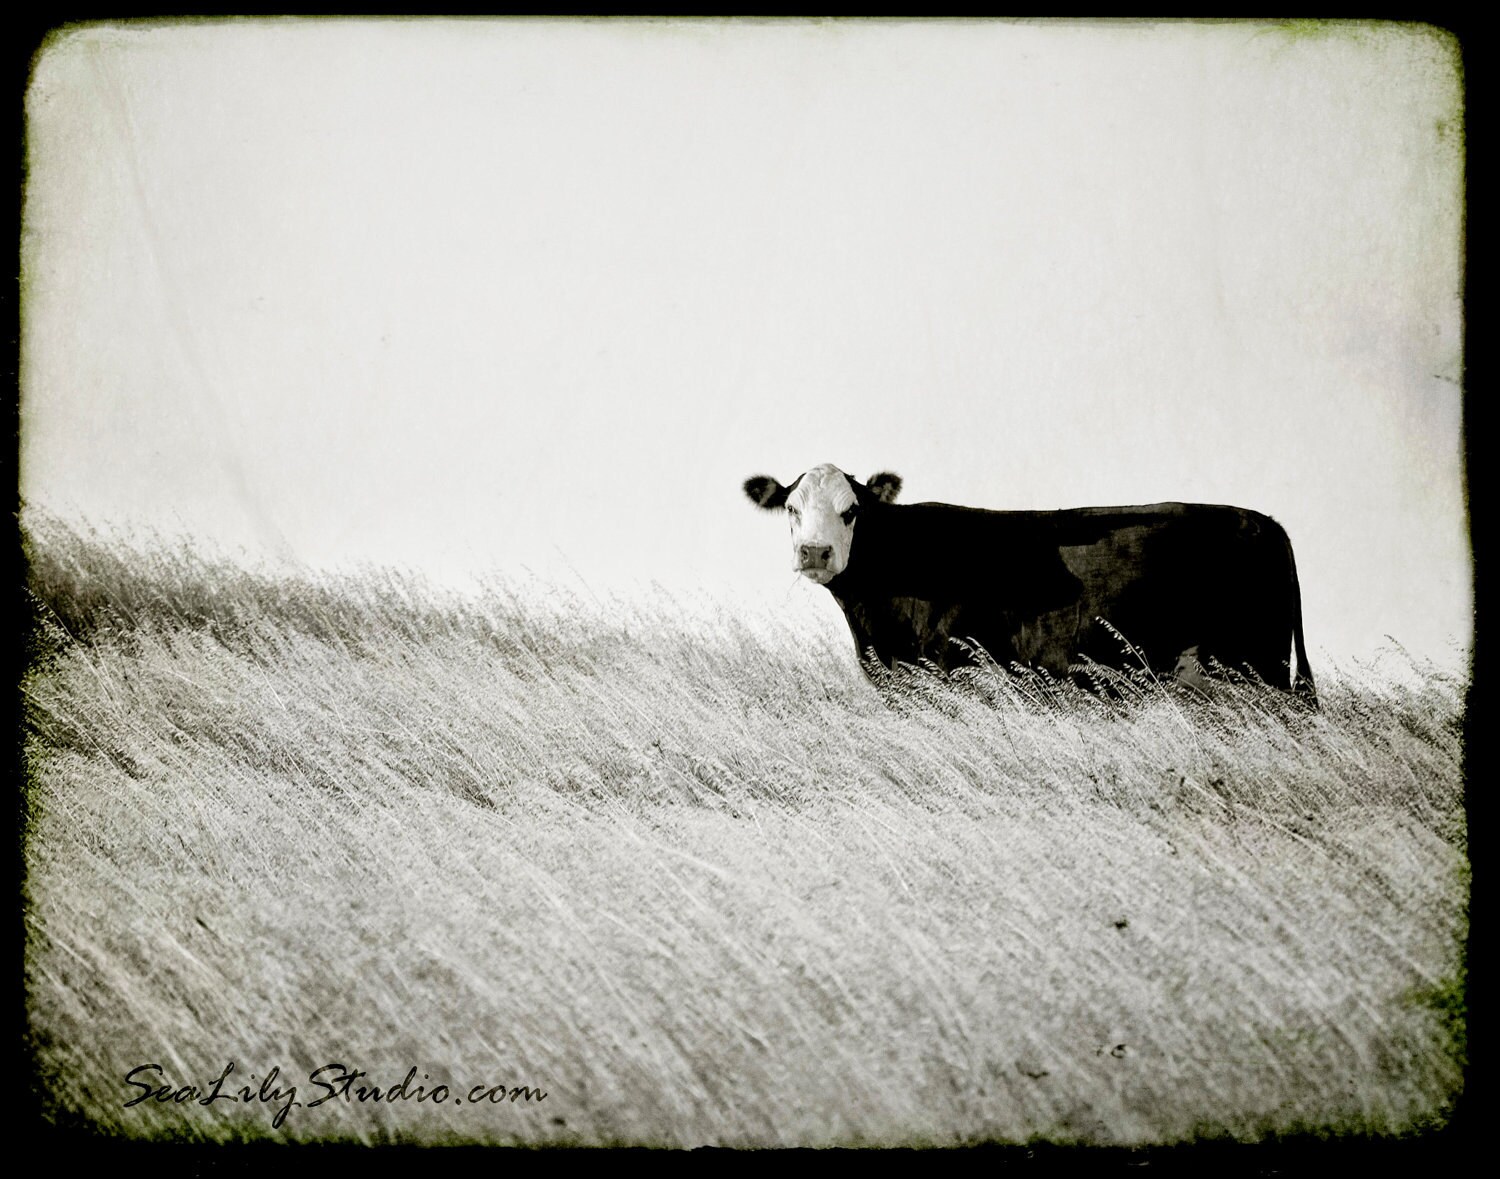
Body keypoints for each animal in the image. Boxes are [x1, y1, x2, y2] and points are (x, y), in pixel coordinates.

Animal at [743, 463, 1316, 703]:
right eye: (792, 509)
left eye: (851, 511)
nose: (815, 552)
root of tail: (1264, 522)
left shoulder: (947, 666)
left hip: (1253, 663)